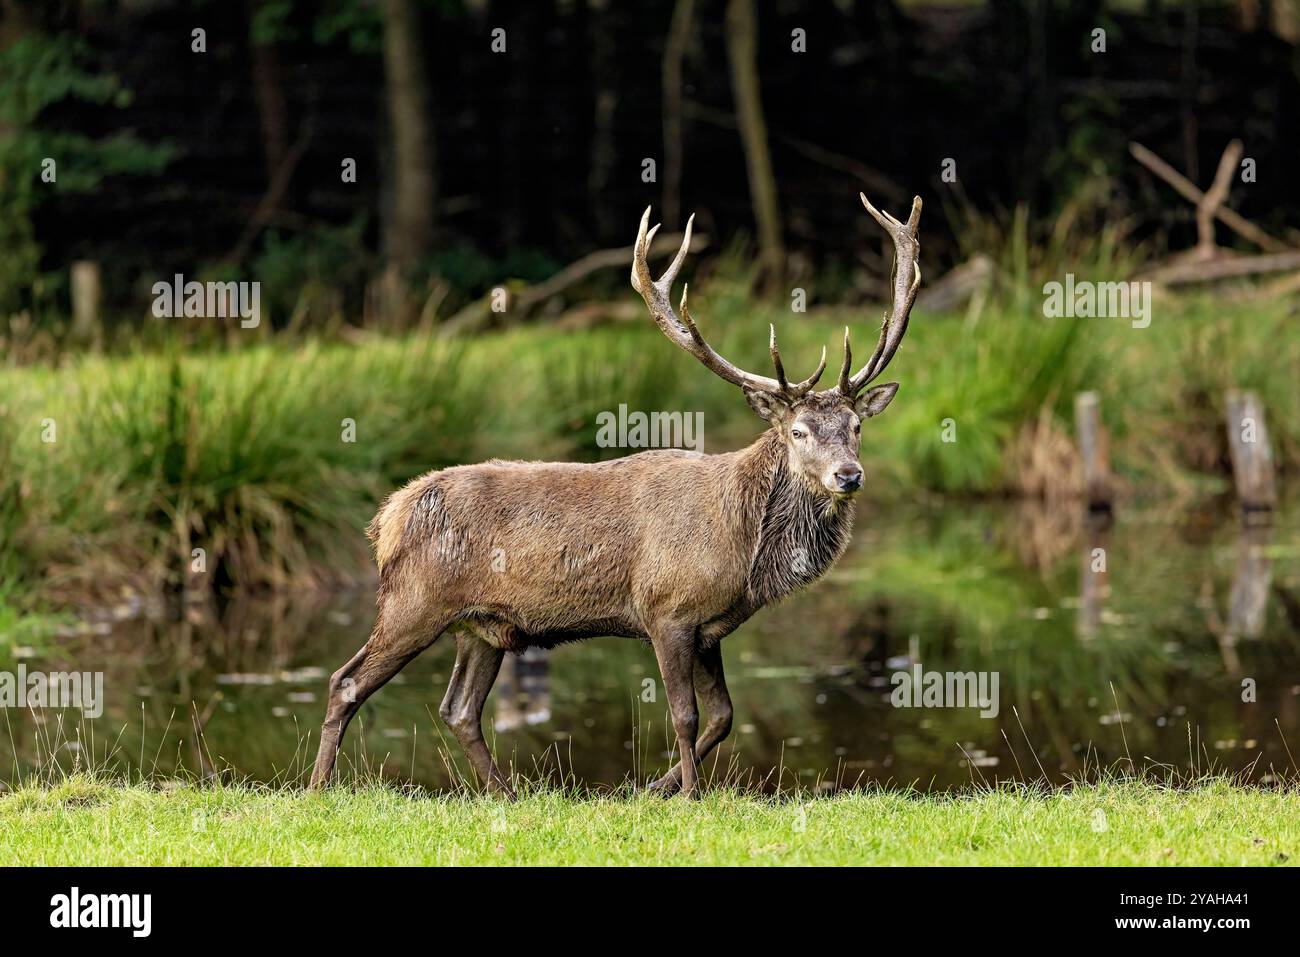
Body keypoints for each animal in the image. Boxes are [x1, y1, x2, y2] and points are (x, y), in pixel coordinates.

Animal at [310, 192, 921, 798]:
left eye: (856, 426)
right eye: (798, 431)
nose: (848, 475)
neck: (744, 550)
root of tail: (389, 515)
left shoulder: (709, 627)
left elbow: (724, 716)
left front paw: (649, 788)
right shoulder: (666, 609)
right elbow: (686, 715)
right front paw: (689, 795)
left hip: (481, 626)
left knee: (459, 708)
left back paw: (505, 793)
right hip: (413, 599)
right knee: (346, 680)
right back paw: (318, 787)